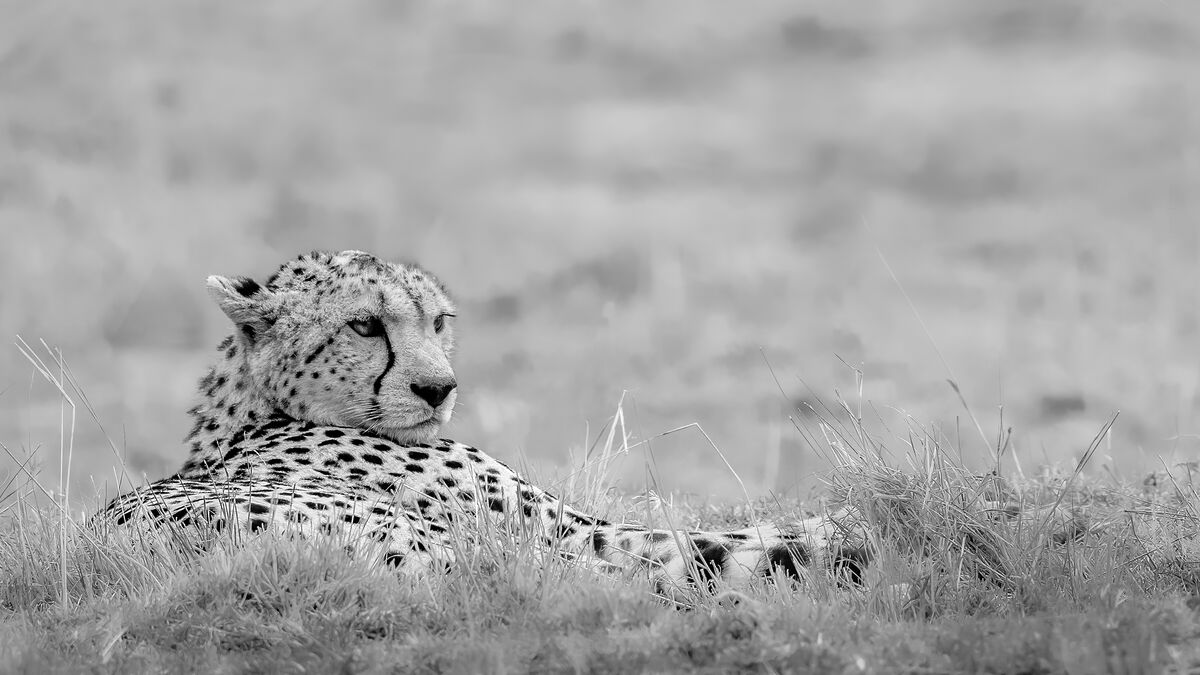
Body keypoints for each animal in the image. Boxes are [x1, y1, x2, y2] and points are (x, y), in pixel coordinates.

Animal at [92, 250, 867, 599]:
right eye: (364, 325)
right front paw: (848, 526)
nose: (439, 388)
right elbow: (709, 537)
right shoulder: (571, 532)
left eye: (438, 321)